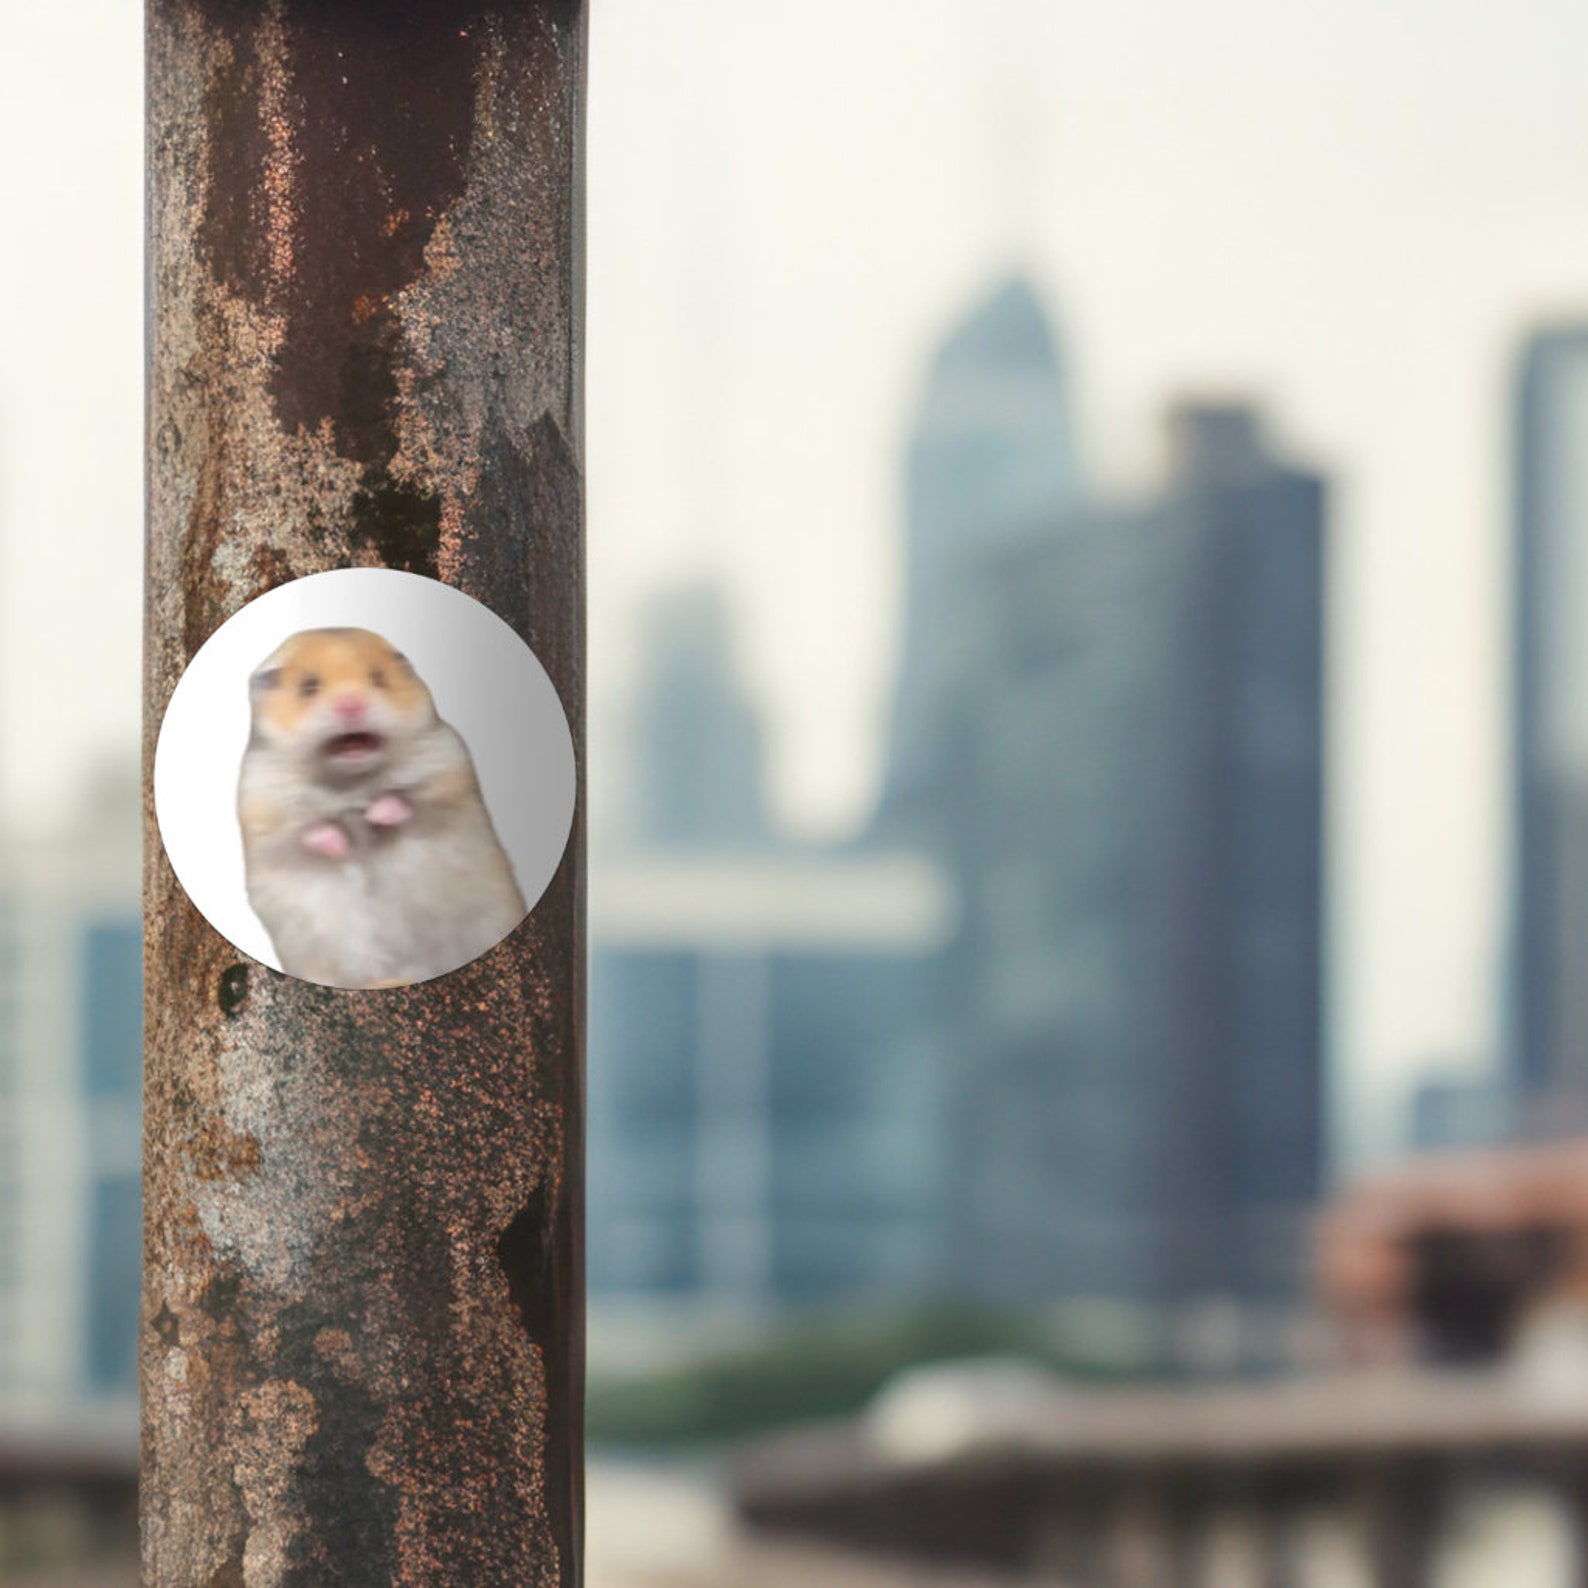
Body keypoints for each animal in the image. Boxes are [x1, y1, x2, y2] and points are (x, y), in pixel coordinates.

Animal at [237, 626, 527, 988]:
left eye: (379, 679)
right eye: (309, 687)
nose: (351, 705)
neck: (351, 780)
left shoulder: (446, 772)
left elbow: (405, 800)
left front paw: (374, 816)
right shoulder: (264, 809)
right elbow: (311, 830)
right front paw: (343, 845)